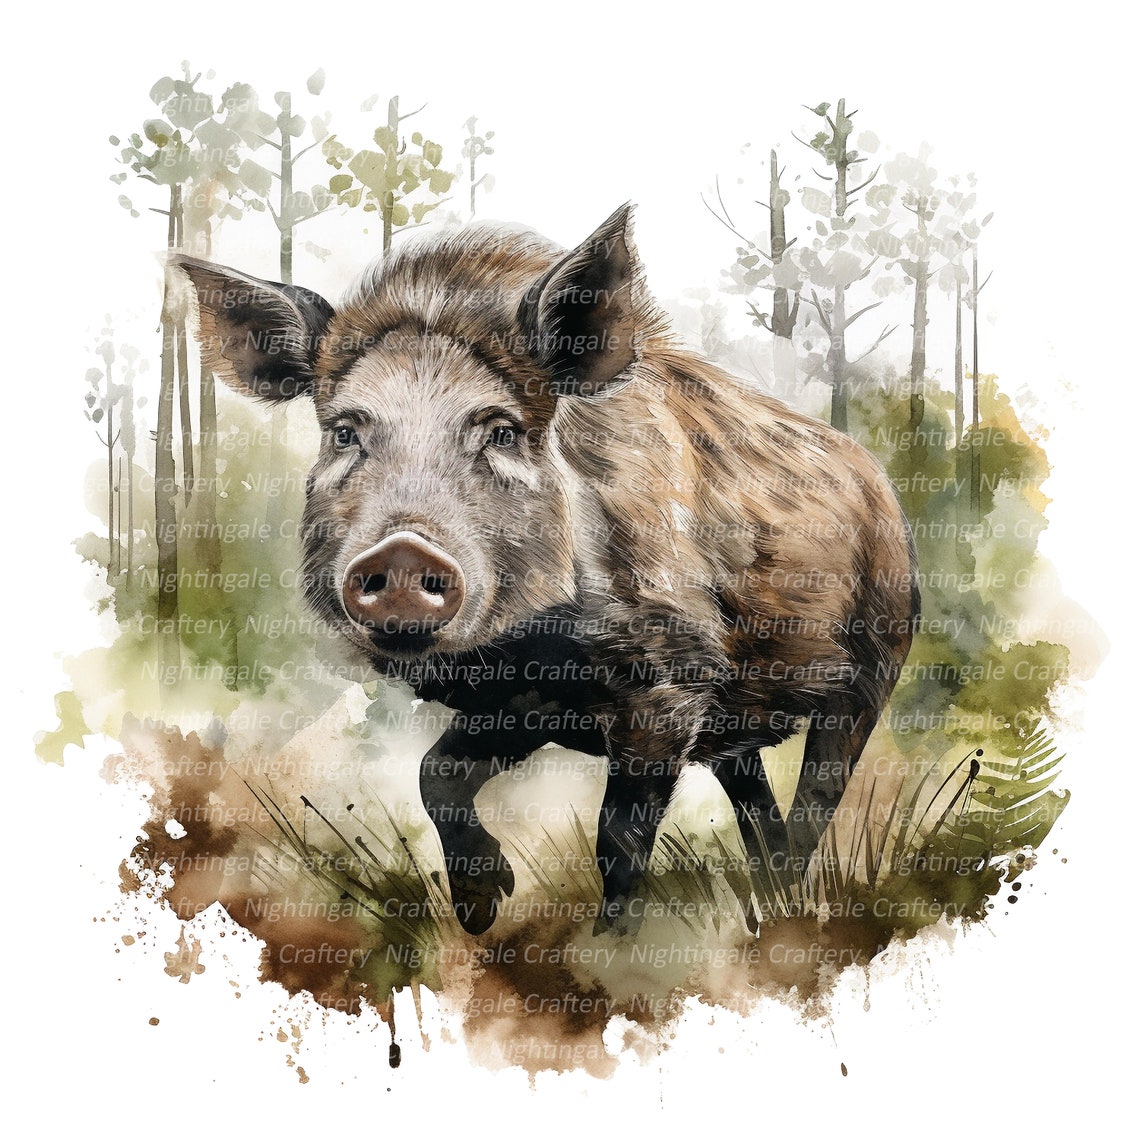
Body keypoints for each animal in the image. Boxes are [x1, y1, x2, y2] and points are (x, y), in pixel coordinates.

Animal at [173, 204, 918, 936]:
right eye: (344, 432)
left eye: (501, 431)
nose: (403, 551)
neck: (535, 647)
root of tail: (879, 480)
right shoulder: (522, 703)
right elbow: (436, 774)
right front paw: (480, 915)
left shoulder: (668, 681)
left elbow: (617, 837)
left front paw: (607, 949)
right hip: (738, 727)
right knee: (760, 811)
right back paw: (769, 915)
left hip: (873, 664)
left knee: (817, 797)